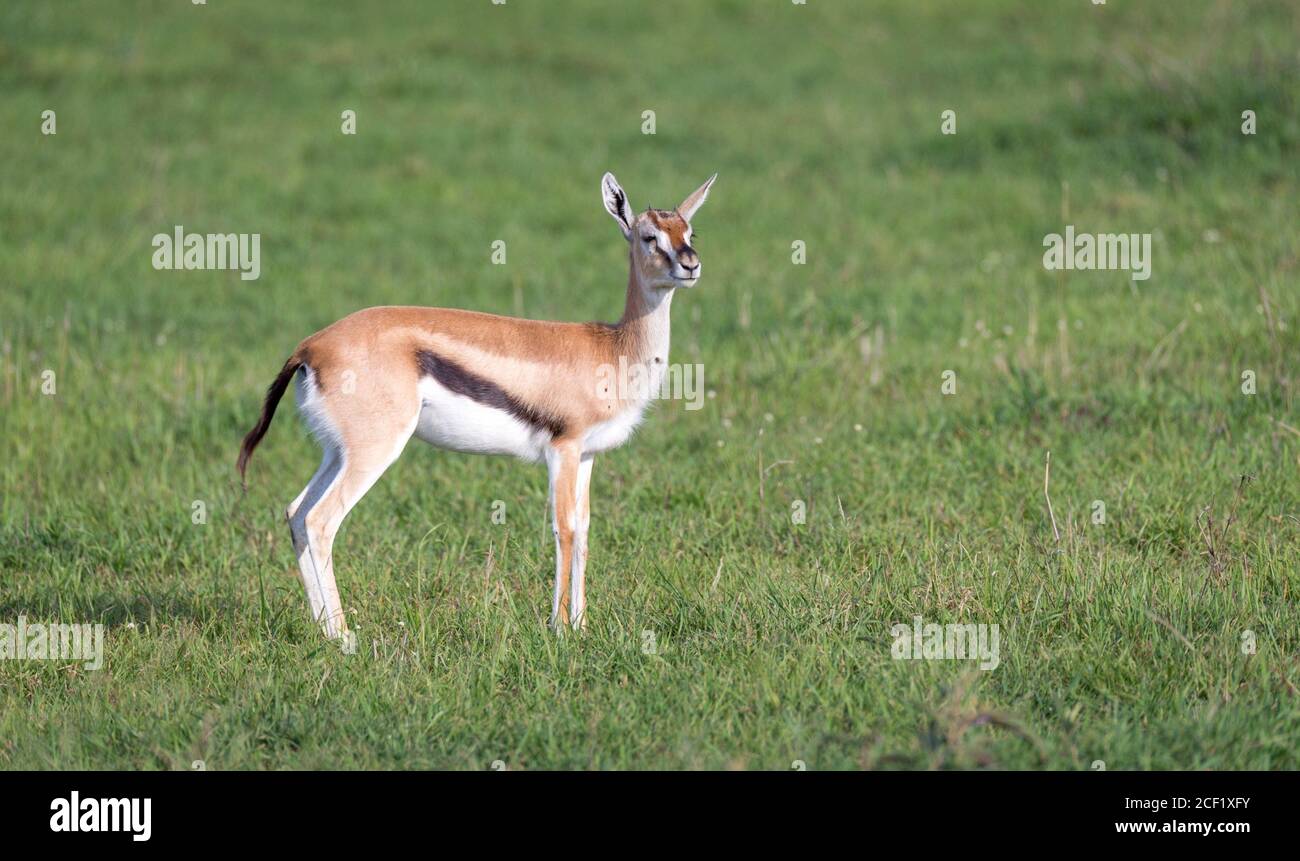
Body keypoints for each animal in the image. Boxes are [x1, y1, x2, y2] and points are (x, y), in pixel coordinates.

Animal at [236, 172, 716, 640]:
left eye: (689, 231)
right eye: (650, 236)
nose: (691, 264)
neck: (614, 348)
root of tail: (310, 347)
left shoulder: (586, 455)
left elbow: (582, 532)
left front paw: (580, 626)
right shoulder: (562, 450)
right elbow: (563, 530)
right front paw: (560, 630)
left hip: (337, 452)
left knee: (297, 513)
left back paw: (323, 631)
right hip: (375, 451)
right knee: (321, 521)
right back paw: (343, 639)